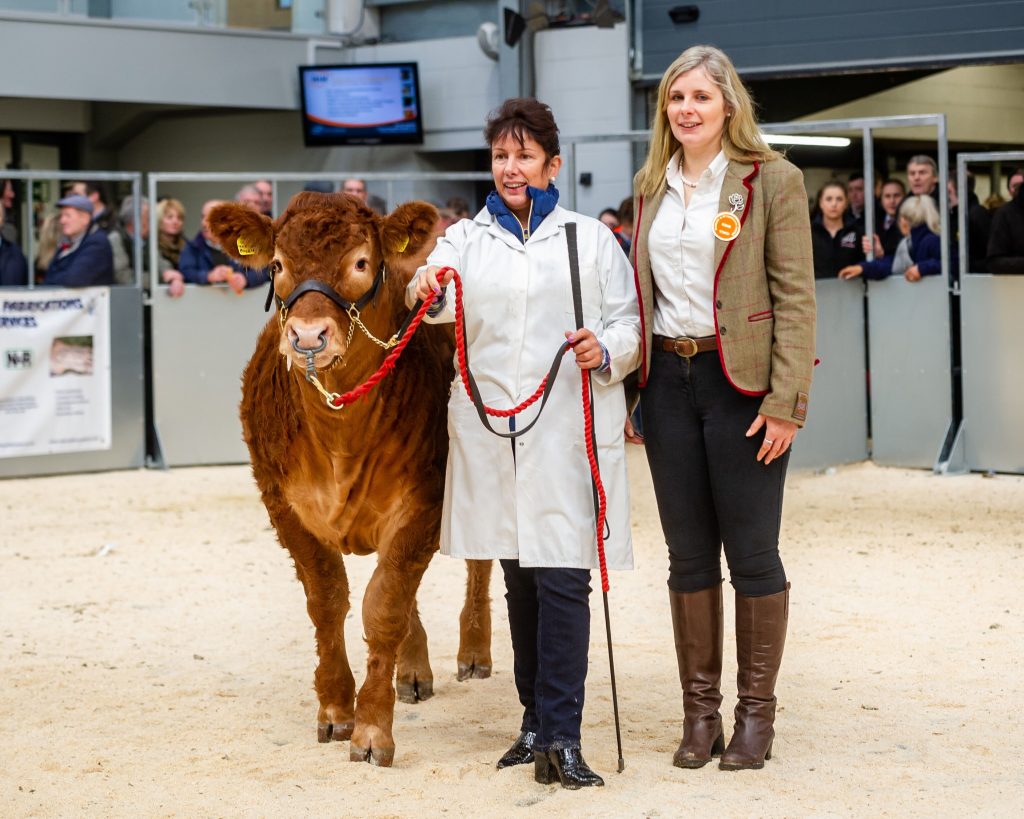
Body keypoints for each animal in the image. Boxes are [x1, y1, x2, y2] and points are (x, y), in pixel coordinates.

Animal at [207, 192, 493, 767]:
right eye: (277, 265)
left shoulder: (426, 502)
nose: (307, 336)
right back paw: (413, 668)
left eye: (361, 263)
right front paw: (337, 708)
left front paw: (372, 730)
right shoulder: (283, 505)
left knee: (476, 563)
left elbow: (383, 607)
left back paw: (474, 650)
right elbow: (329, 600)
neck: (341, 430)